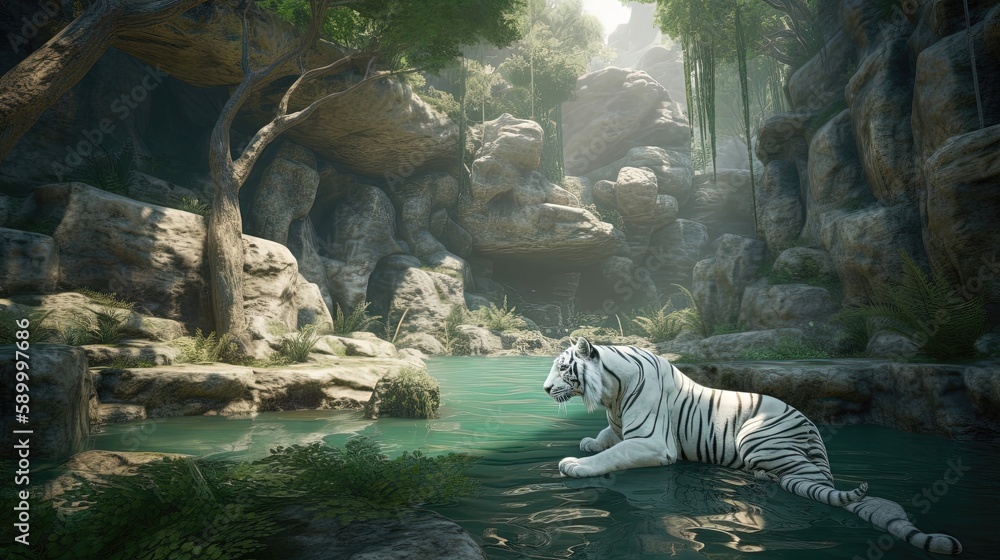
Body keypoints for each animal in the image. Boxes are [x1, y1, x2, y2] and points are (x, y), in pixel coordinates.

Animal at [542, 337, 963, 555]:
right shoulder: (620, 426)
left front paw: (575, 464)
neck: (612, 392)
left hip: (756, 434)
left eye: (563, 367)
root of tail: (814, 434)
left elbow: (612, 453)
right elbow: (605, 438)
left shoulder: (652, 442)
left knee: (794, 478)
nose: (545, 389)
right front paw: (587, 441)